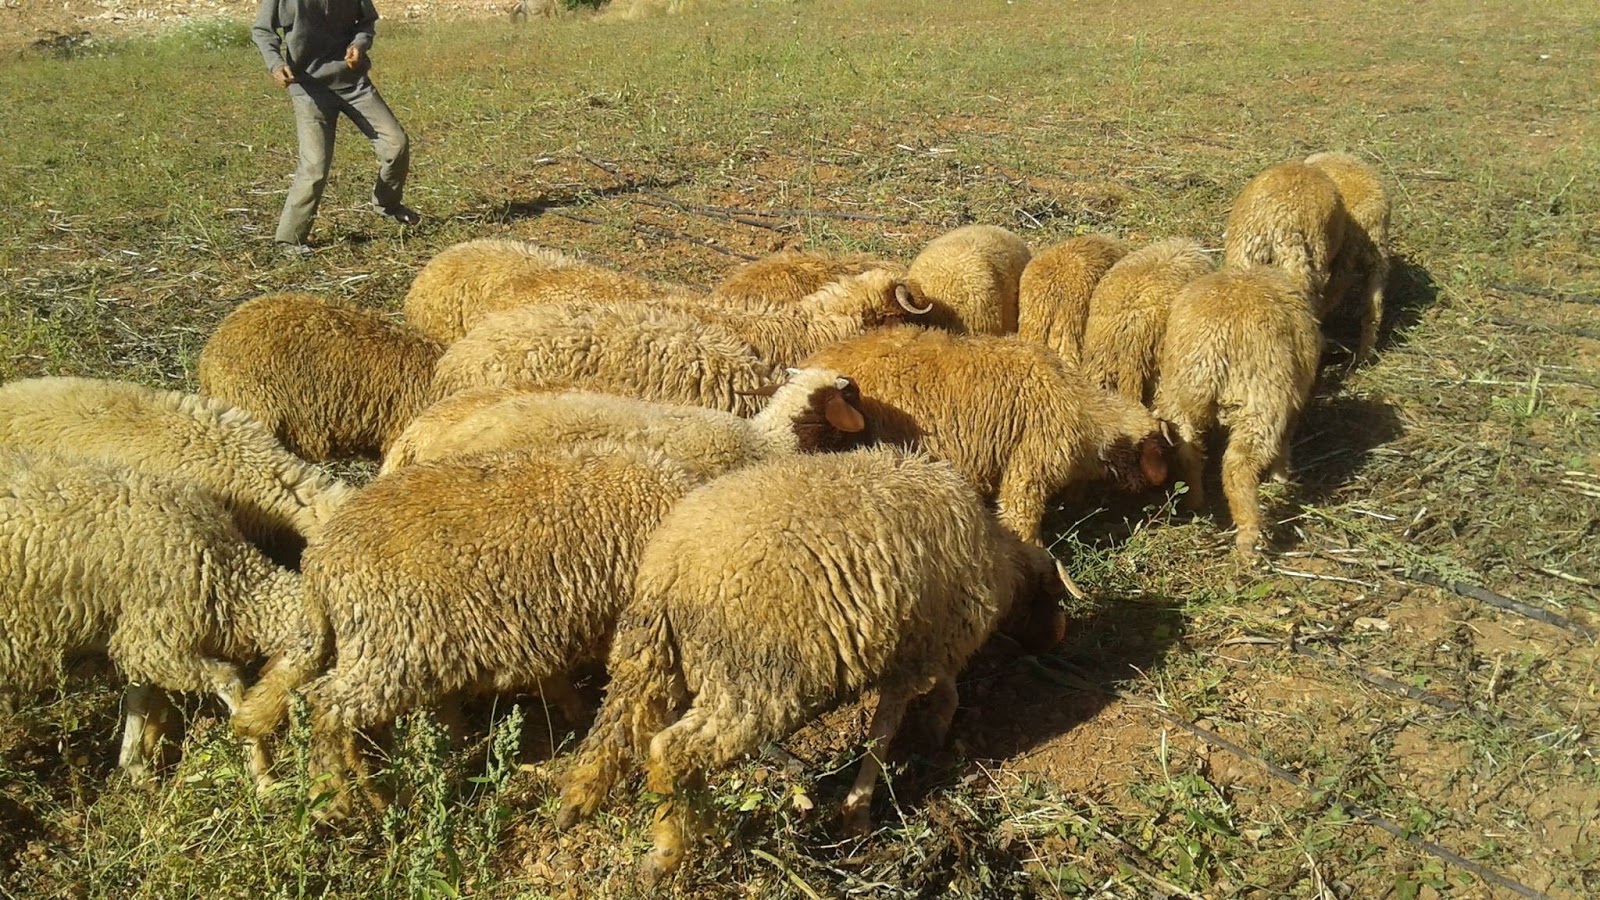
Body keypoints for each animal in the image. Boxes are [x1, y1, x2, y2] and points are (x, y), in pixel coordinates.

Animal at [0, 449, 310, 782]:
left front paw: (134, 764)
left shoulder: (142, 636)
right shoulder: (159, 638)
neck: (228, 574)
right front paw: (263, 772)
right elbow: (230, 681)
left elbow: (139, 693)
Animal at [242, 444, 704, 814]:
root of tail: (319, 560)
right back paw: (334, 799)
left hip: (374, 645)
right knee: (324, 704)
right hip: (391, 647)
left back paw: (376, 792)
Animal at [555, 447, 1071, 880]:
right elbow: (894, 725)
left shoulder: (918, 647)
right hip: (753, 680)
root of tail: (668, 572)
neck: (999, 562)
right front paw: (864, 804)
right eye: (1051, 595)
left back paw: (587, 802)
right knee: (670, 751)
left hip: (646, 660)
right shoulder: (923, 648)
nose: (1054, 641)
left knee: (616, 736)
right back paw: (670, 846)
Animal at [1152, 266, 1321, 556]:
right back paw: (1248, 536)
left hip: (1177, 400)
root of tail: (1213, 347)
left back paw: (1195, 500)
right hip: (1261, 405)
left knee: (1188, 453)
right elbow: (1286, 441)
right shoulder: (1293, 402)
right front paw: (1282, 476)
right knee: (1237, 466)